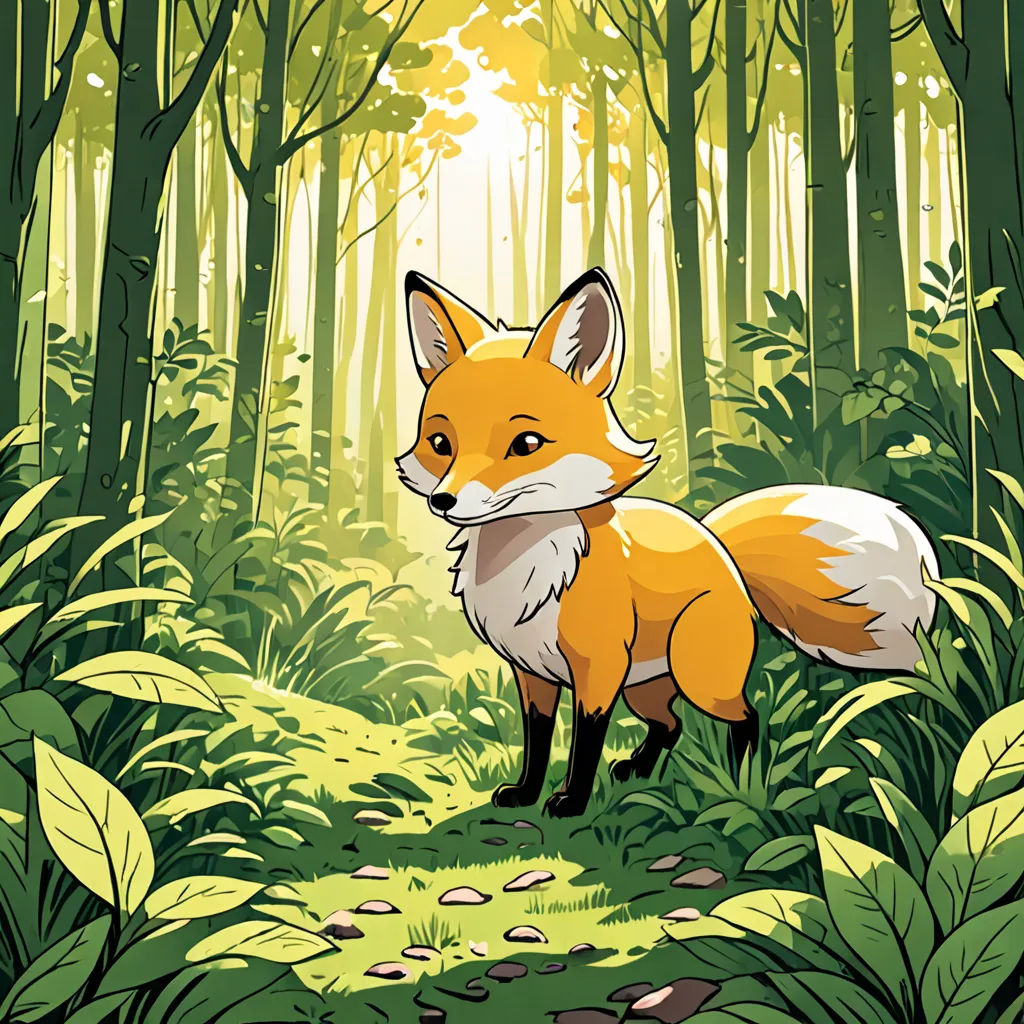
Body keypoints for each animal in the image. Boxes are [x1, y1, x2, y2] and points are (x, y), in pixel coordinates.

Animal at [396, 266, 940, 818]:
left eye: (525, 444)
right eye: (440, 444)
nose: (443, 500)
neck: (526, 570)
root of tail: (720, 548)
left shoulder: (599, 669)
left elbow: (585, 742)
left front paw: (571, 801)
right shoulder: (532, 673)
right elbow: (538, 739)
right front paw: (526, 793)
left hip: (698, 677)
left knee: (746, 718)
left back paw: (739, 782)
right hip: (648, 687)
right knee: (671, 724)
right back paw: (639, 769)